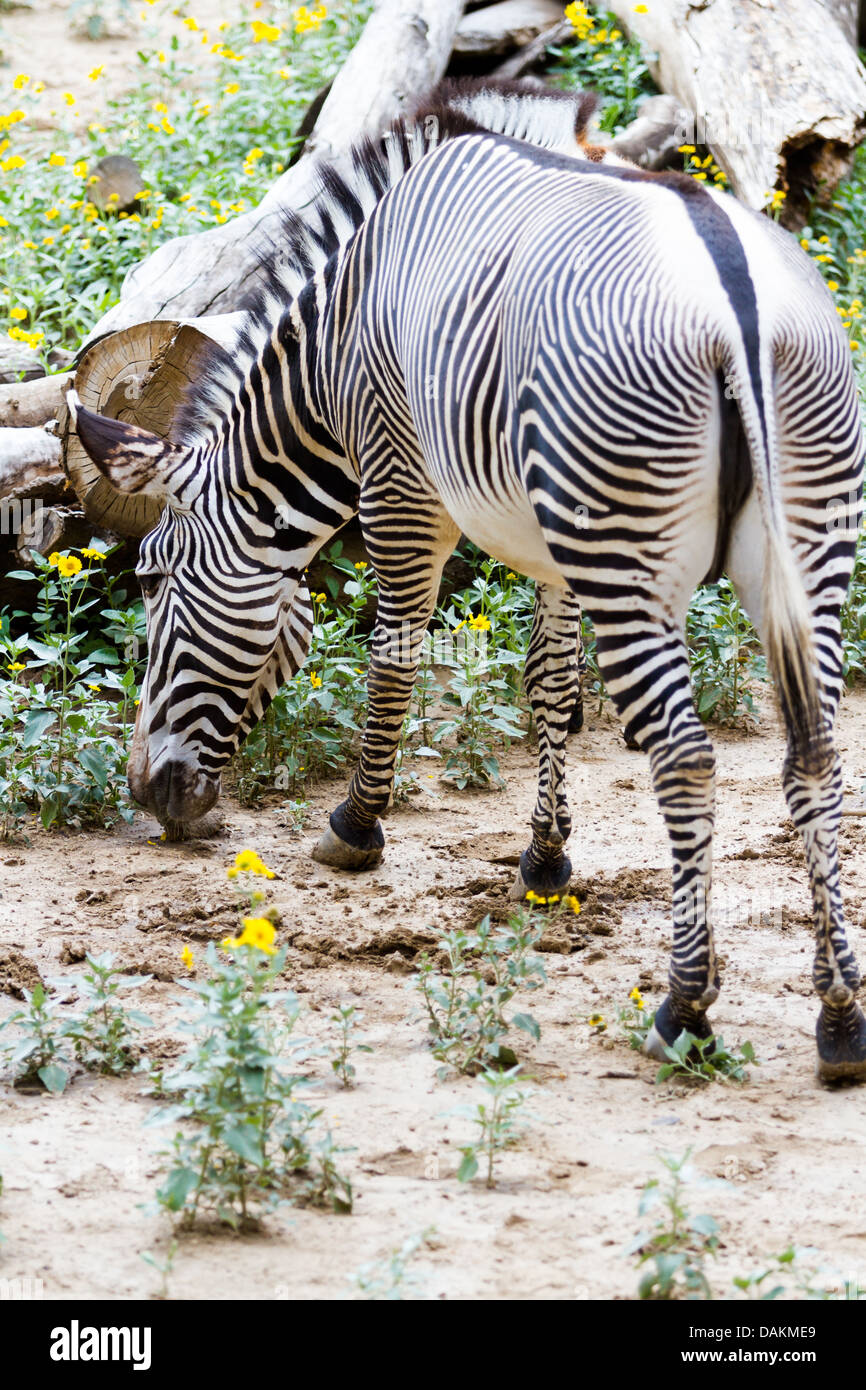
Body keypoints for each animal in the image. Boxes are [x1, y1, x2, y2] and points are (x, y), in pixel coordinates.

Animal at [67, 84, 866, 1083]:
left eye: (152, 582)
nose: (147, 798)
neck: (337, 338)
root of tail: (736, 299)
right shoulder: (555, 539)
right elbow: (550, 685)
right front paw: (546, 859)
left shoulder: (400, 483)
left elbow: (395, 658)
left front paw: (357, 826)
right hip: (801, 546)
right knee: (817, 754)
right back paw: (839, 1018)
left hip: (629, 553)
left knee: (685, 757)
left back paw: (685, 1009)